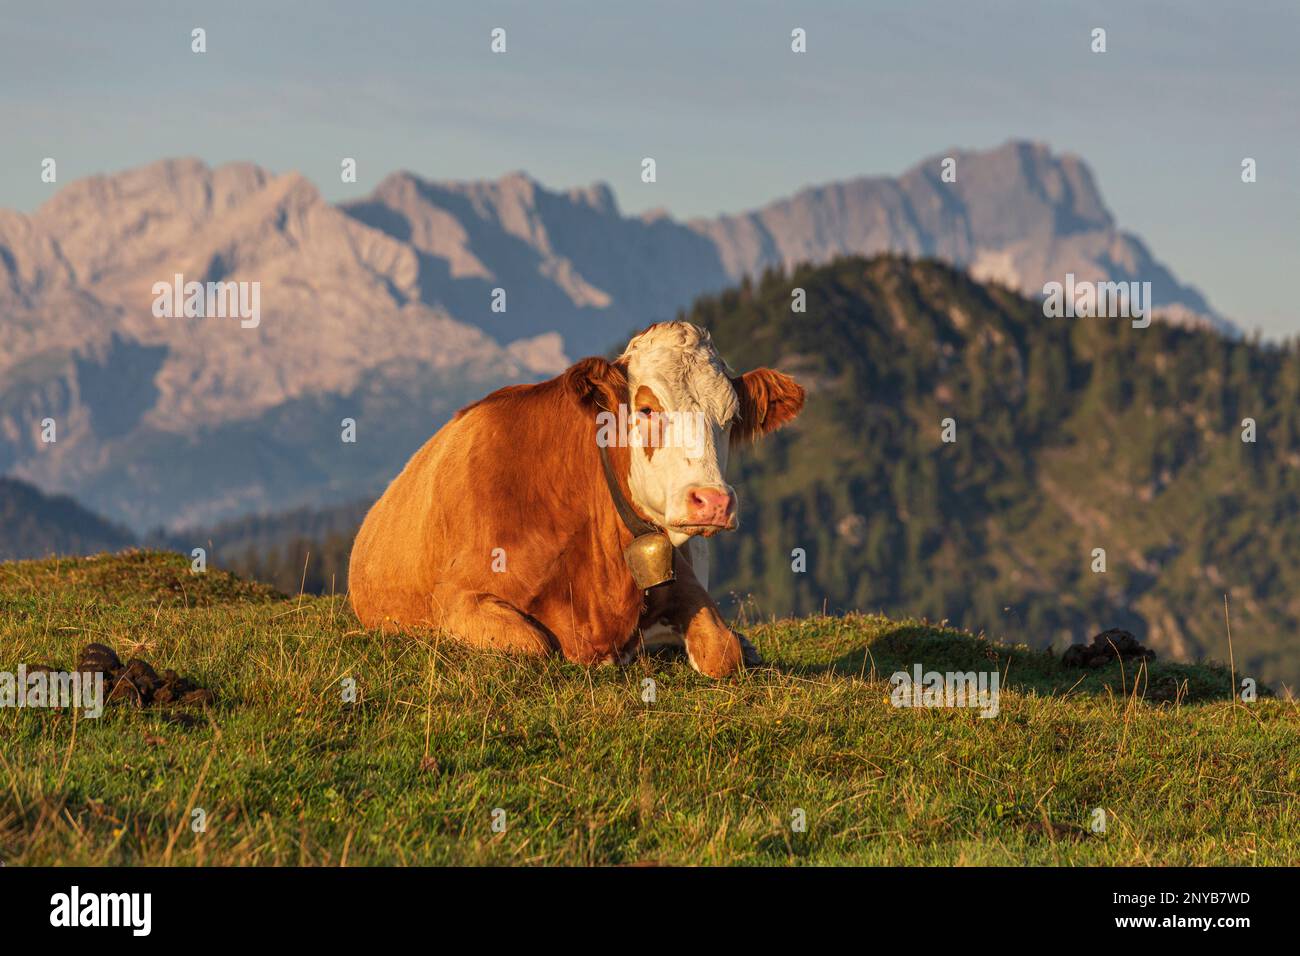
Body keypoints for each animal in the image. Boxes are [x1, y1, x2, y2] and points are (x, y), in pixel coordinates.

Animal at [348, 321, 804, 678]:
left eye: (731, 417)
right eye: (646, 409)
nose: (712, 501)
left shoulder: (684, 580)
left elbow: (724, 649)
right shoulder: (455, 598)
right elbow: (535, 643)